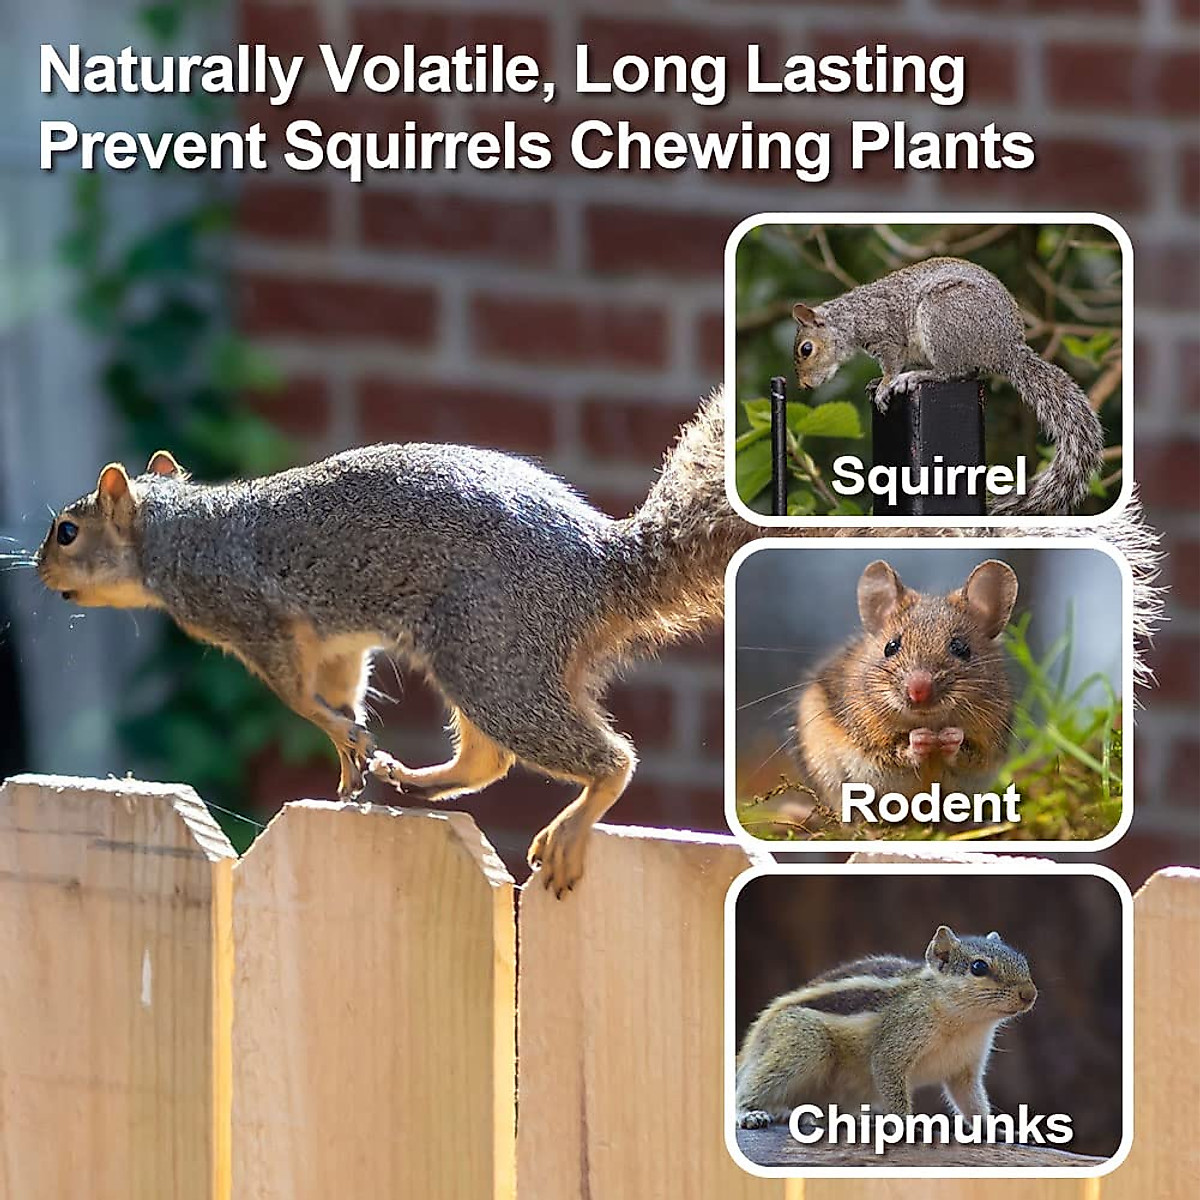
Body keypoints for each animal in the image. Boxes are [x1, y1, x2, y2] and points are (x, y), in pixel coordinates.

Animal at [735, 926, 1037, 1129]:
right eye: (978, 967)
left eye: (1022, 962)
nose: (1029, 994)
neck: (965, 1022)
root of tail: (753, 1045)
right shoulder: (896, 1044)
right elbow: (890, 1078)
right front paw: (908, 1124)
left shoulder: (966, 1069)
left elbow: (971, 1100)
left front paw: (995, 1129)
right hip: (802, 1043)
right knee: (748, 1087)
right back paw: (750, 1112)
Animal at [791, 256, 1106, 516]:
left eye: (806, 349)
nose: (805, 385)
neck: (851, 319)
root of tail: (1005, 350)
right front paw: (876, 382)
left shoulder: (887, 335)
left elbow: (892, 365)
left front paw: (884, 384)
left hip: (942, 317)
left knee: (954, 371)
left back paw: (918, 376)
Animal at [795, 559, 1018, 808]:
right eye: (891, 647)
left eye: (961, 648)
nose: (918, 690)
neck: (929, 721)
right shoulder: (869, 742)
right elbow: (895, 753)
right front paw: (920, 739)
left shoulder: (987, 750)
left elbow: (967, 754)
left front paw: (950, 737)